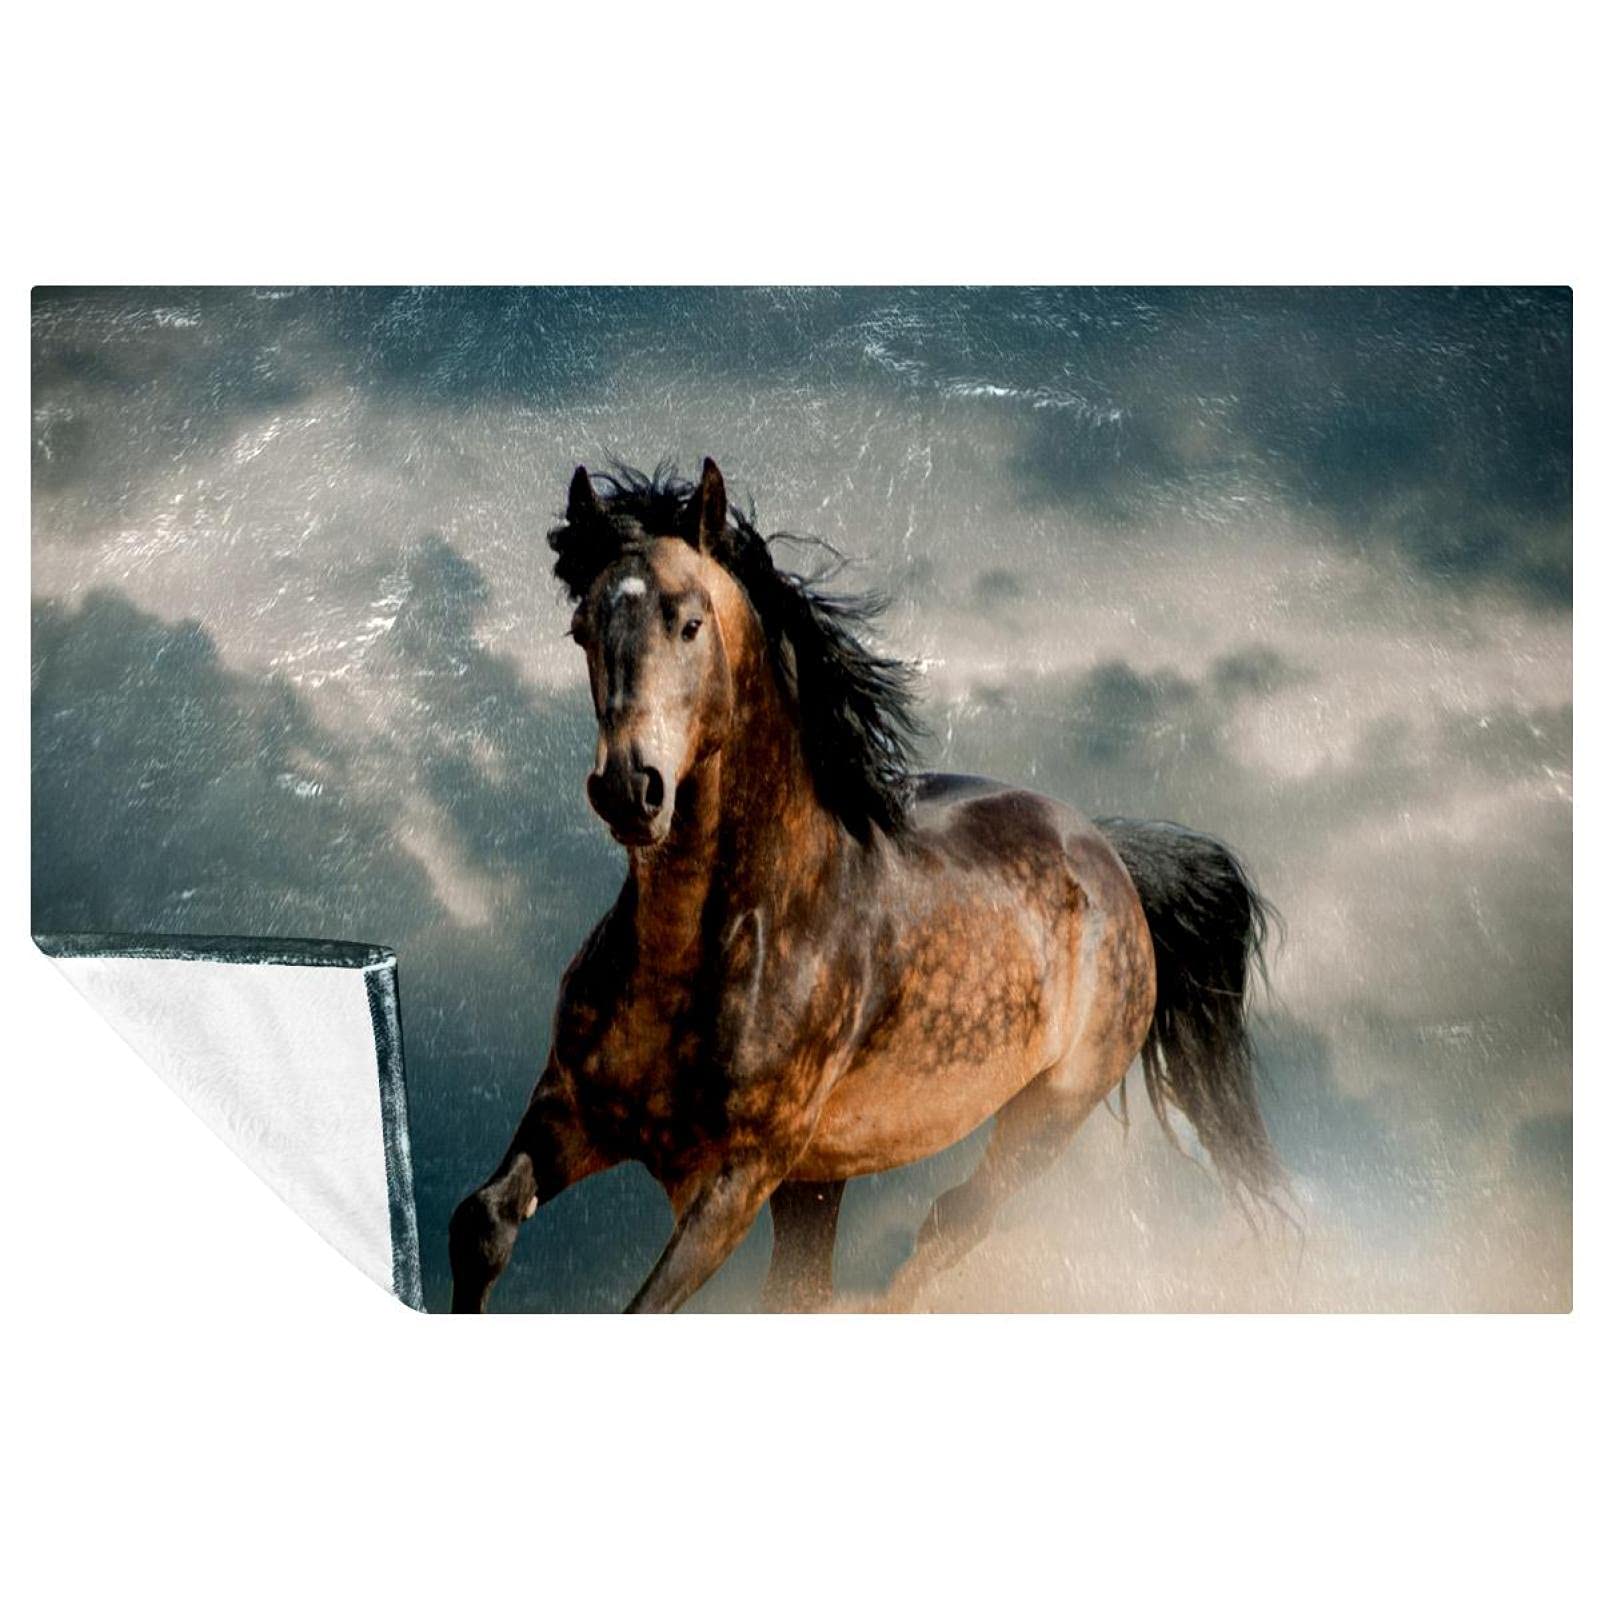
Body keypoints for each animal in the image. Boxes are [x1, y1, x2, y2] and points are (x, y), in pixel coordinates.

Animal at [449, 459, 1284, 1313]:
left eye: (689, 622)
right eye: (581, 629)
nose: (628, 788)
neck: (706, 947)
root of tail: (1107, 851)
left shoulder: (735, 1177)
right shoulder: (572, 1108)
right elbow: (481, 1222)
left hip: (1044, 1117)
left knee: (948, 1226)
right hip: (821, 1177)